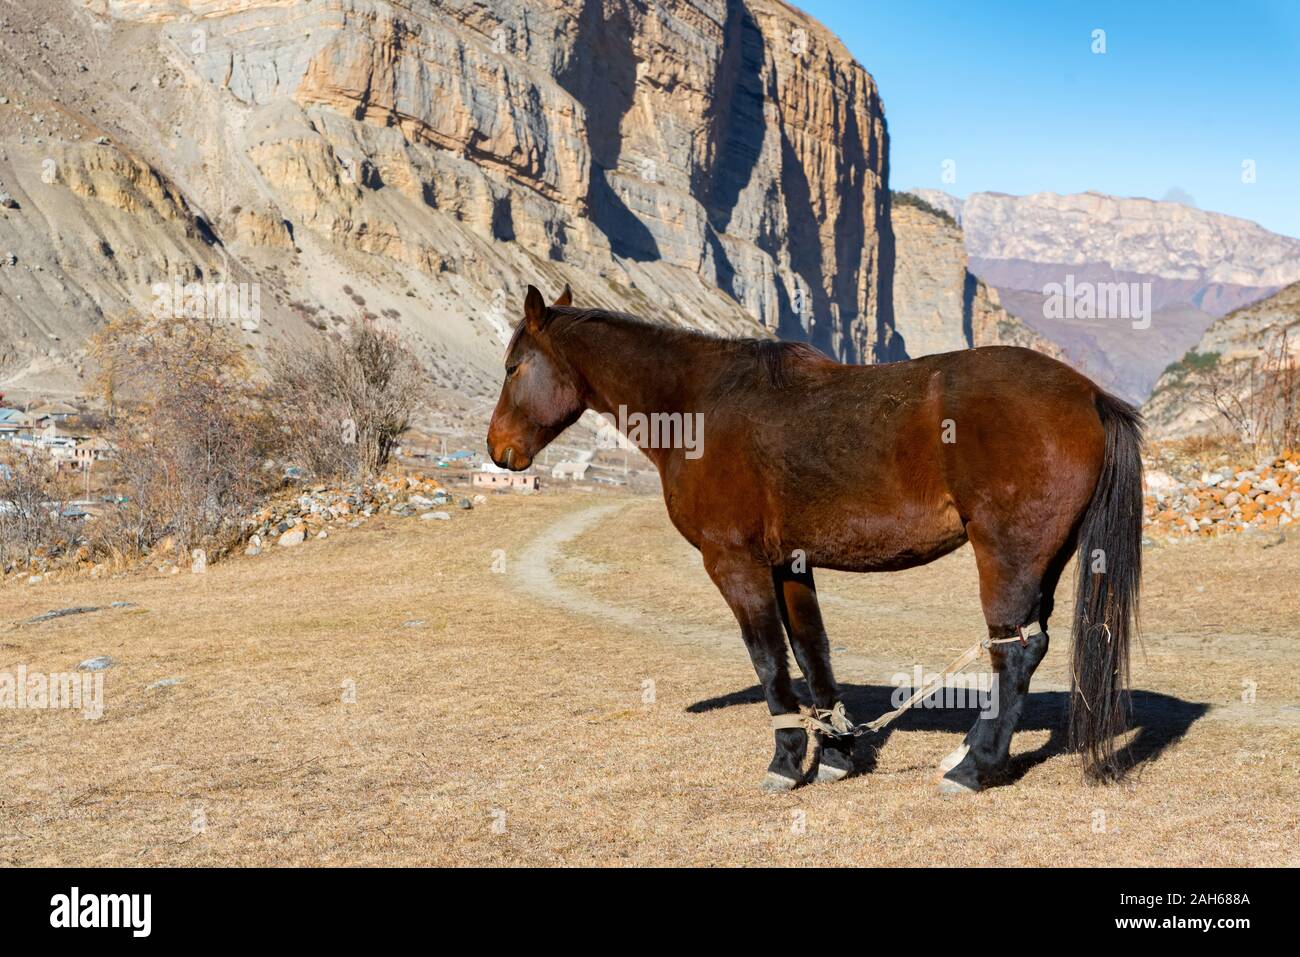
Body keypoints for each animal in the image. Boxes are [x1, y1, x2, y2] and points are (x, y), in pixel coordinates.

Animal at [487, 285, 1143, 793]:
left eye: (514, 366)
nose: (498, 450)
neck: (699, 406)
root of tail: (1088, 394)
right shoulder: (790, 566)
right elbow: (812, 653)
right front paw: (833, 753)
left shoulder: (735, 563)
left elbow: (769, 660)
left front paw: (784, 762)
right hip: (1045, 561)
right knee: (1029, 646)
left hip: (1007, 558)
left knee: (1013, 652)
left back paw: (973, 767)